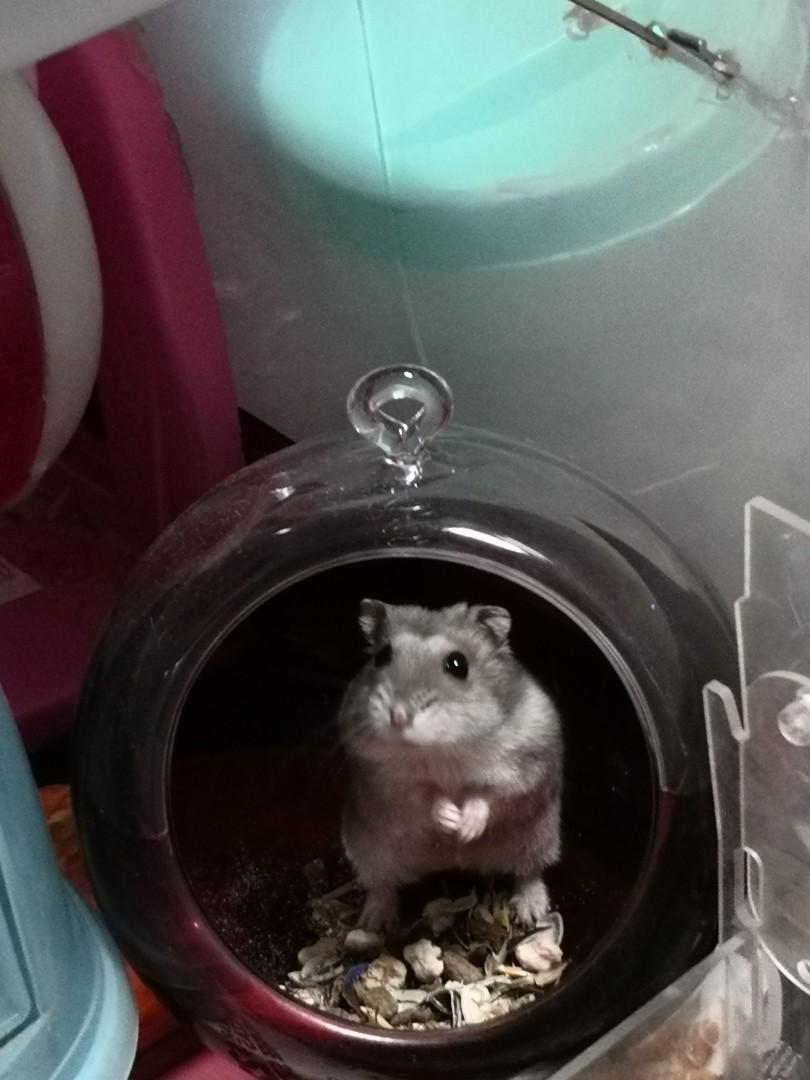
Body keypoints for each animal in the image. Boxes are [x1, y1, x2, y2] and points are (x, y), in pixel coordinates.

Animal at [338, 599, 563, 933]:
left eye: (458, 665)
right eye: (382, 656)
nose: (399, 717)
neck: (442, 747)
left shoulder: (523, 766)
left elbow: (486, 795)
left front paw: (465, 830)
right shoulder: (384, 781)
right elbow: (425, 798)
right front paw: (450, 820)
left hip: (537, 838)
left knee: (529, 872)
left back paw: (530, 913)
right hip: (369, 852)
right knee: (383, 887)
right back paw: (372, 923)